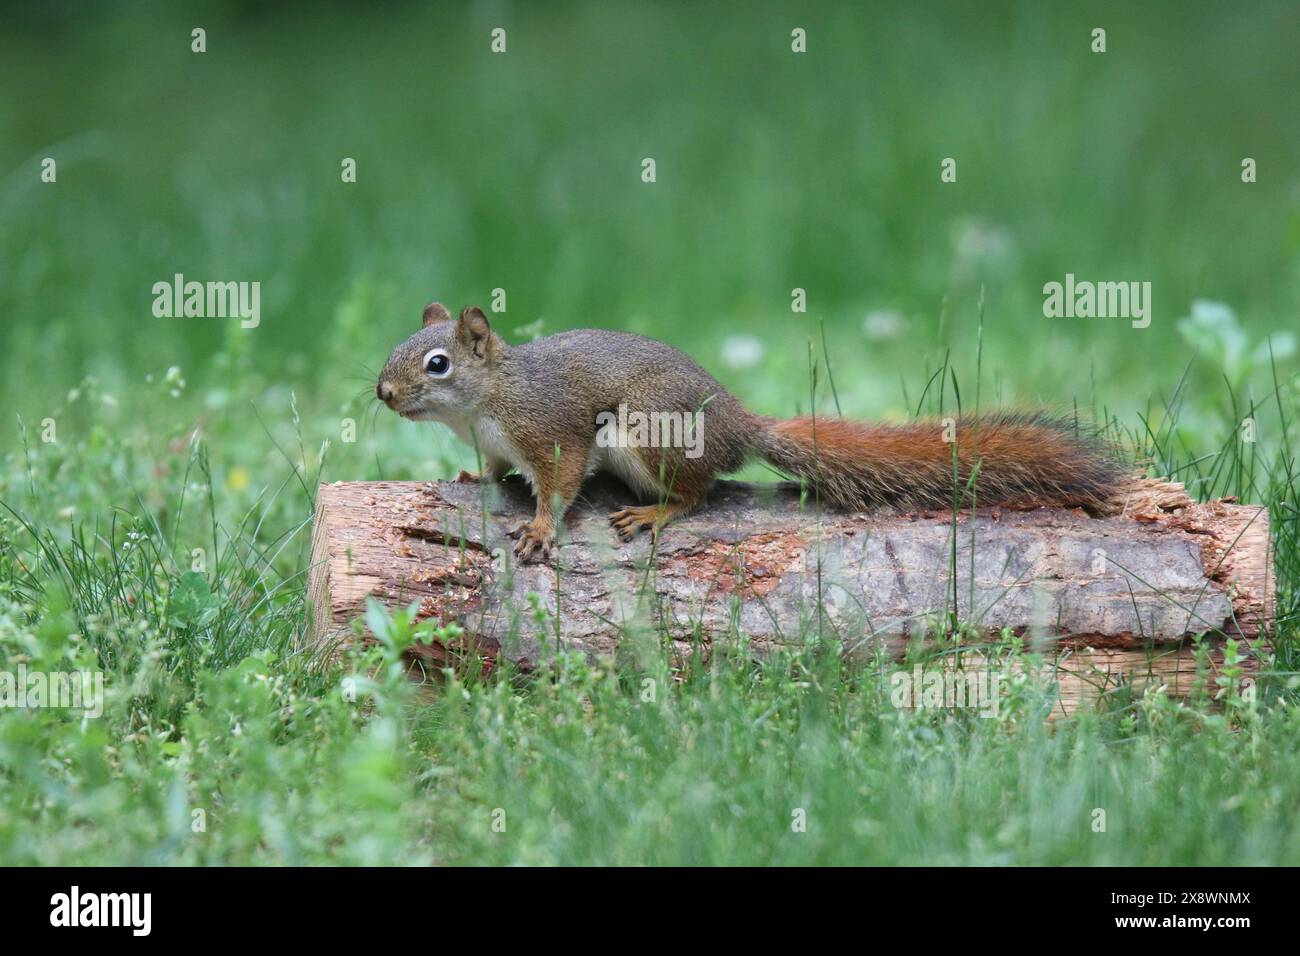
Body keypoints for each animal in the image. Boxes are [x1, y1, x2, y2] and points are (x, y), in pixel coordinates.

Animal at [378, 302, 1123, 562]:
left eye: (437, 363)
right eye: (400, 344)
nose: (382, 393)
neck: (487, 403)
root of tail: (738, 422)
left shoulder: (552, 429)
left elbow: (558, 484)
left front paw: (538, 528)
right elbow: (497, 470)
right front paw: (472, 475)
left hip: (651, 430)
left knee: (700, 490)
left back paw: (656, 512)